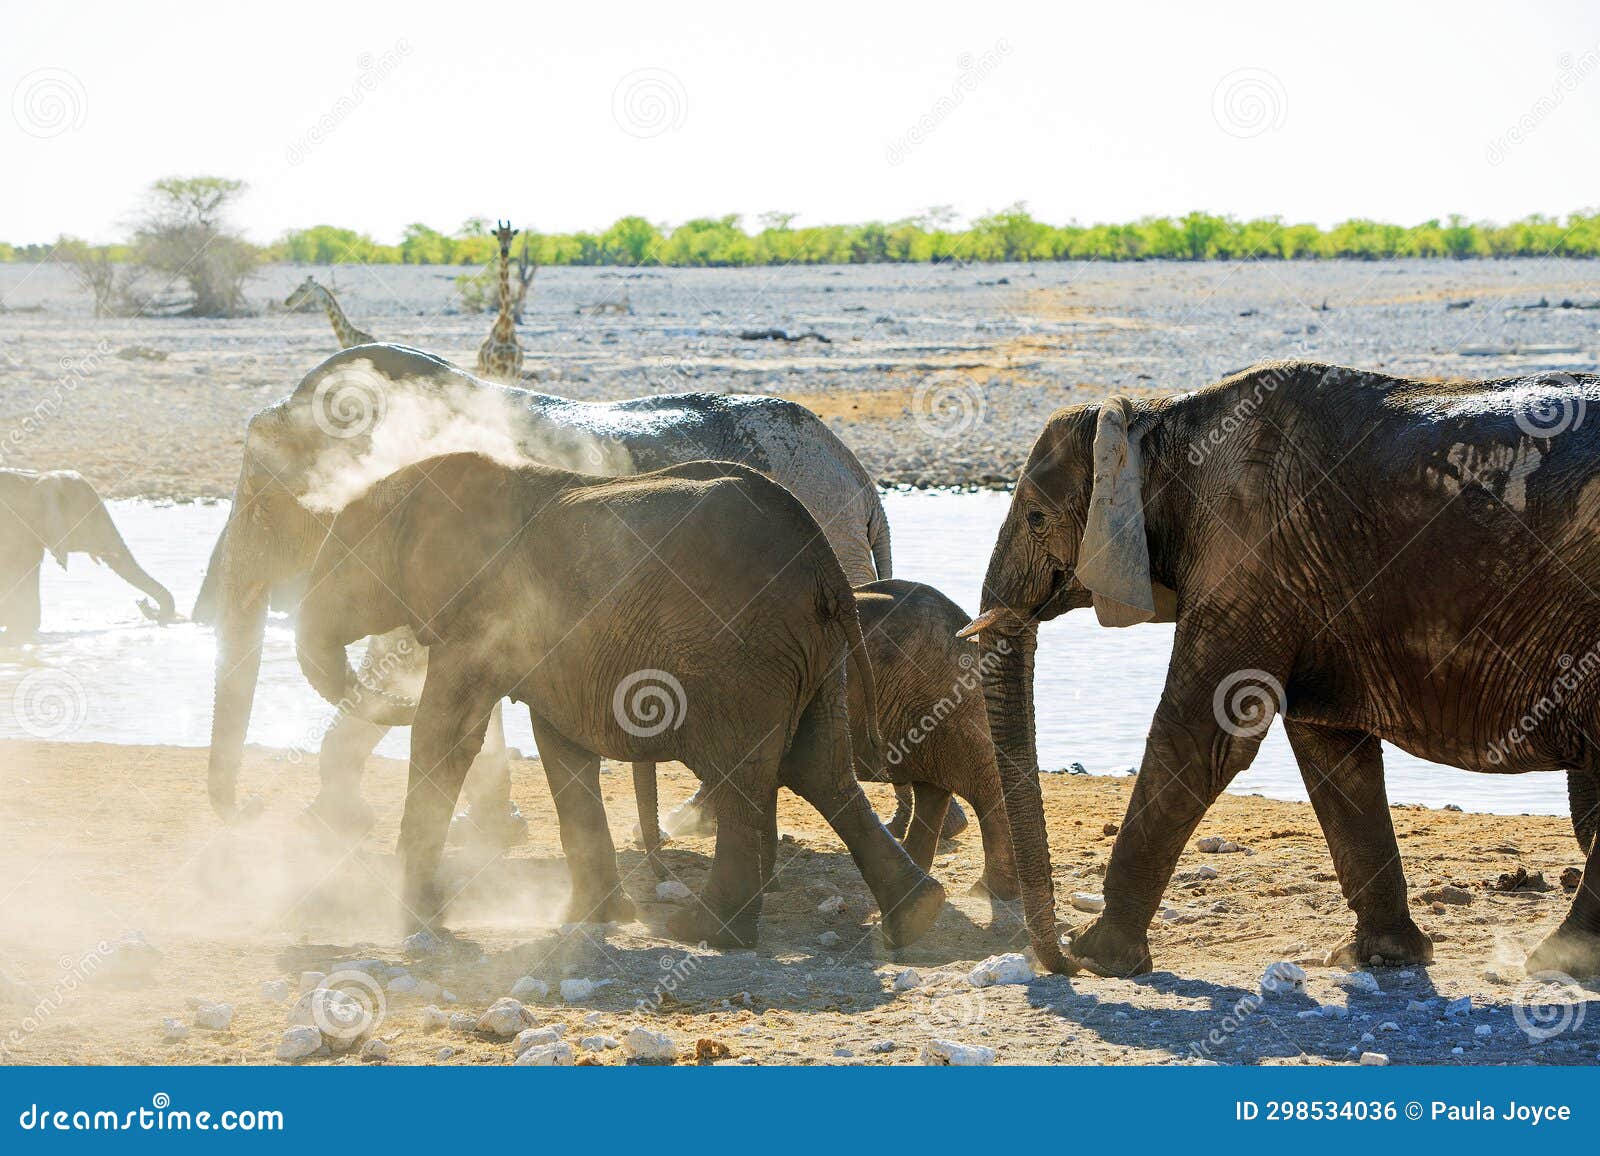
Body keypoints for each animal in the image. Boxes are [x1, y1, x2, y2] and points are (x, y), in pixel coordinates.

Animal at [201, 342, 899, 838]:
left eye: (262, 503)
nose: (245, 811)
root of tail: (860, 479)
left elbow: (401, 661)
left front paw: (334, 820)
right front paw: (484, 826)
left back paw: (698, 820)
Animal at [292, 451, 946, 950]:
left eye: (342, 558)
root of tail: (826, 565)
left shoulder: (483, 617)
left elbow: (446, 733)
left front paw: (420, 924)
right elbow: (560, 746)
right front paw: (593, 919)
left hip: (742, 656)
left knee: (747, 775)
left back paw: (705, 933)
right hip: (817, 655)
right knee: (821, 770)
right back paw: (916, 918)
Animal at [966, 361, 1600, 979]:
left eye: (1037, 518)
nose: (1059, 960)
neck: (1164, 418)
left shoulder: (1248, 552)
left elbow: (1199, 738)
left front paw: (1098, 957)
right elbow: (1332, 751)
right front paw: (1380, 958)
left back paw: (1554, 961)